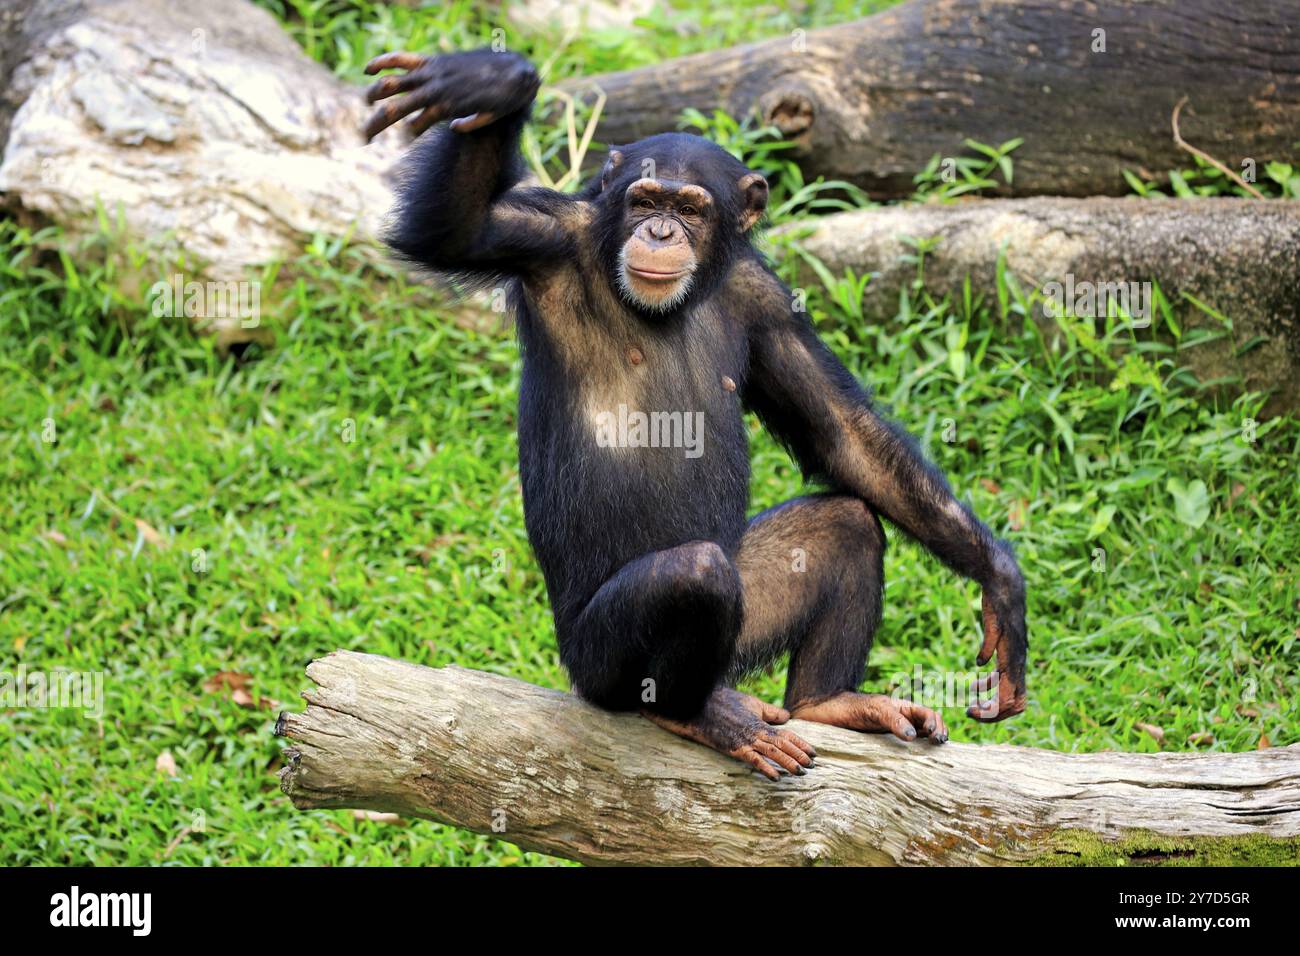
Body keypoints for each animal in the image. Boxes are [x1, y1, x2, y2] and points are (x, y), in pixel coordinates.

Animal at [362, 48, 1028, 779]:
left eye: (690, 208)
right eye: (645, 200)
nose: (660, 231)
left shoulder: (767, 300)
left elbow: (841, 433)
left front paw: (1002, 589)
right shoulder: (545, 238)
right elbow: (457, 229)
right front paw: (488, 82)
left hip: (747, 621)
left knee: (846, 522)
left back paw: (828, 701)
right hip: (595, 661)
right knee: (697, 575)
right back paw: (697, 715)